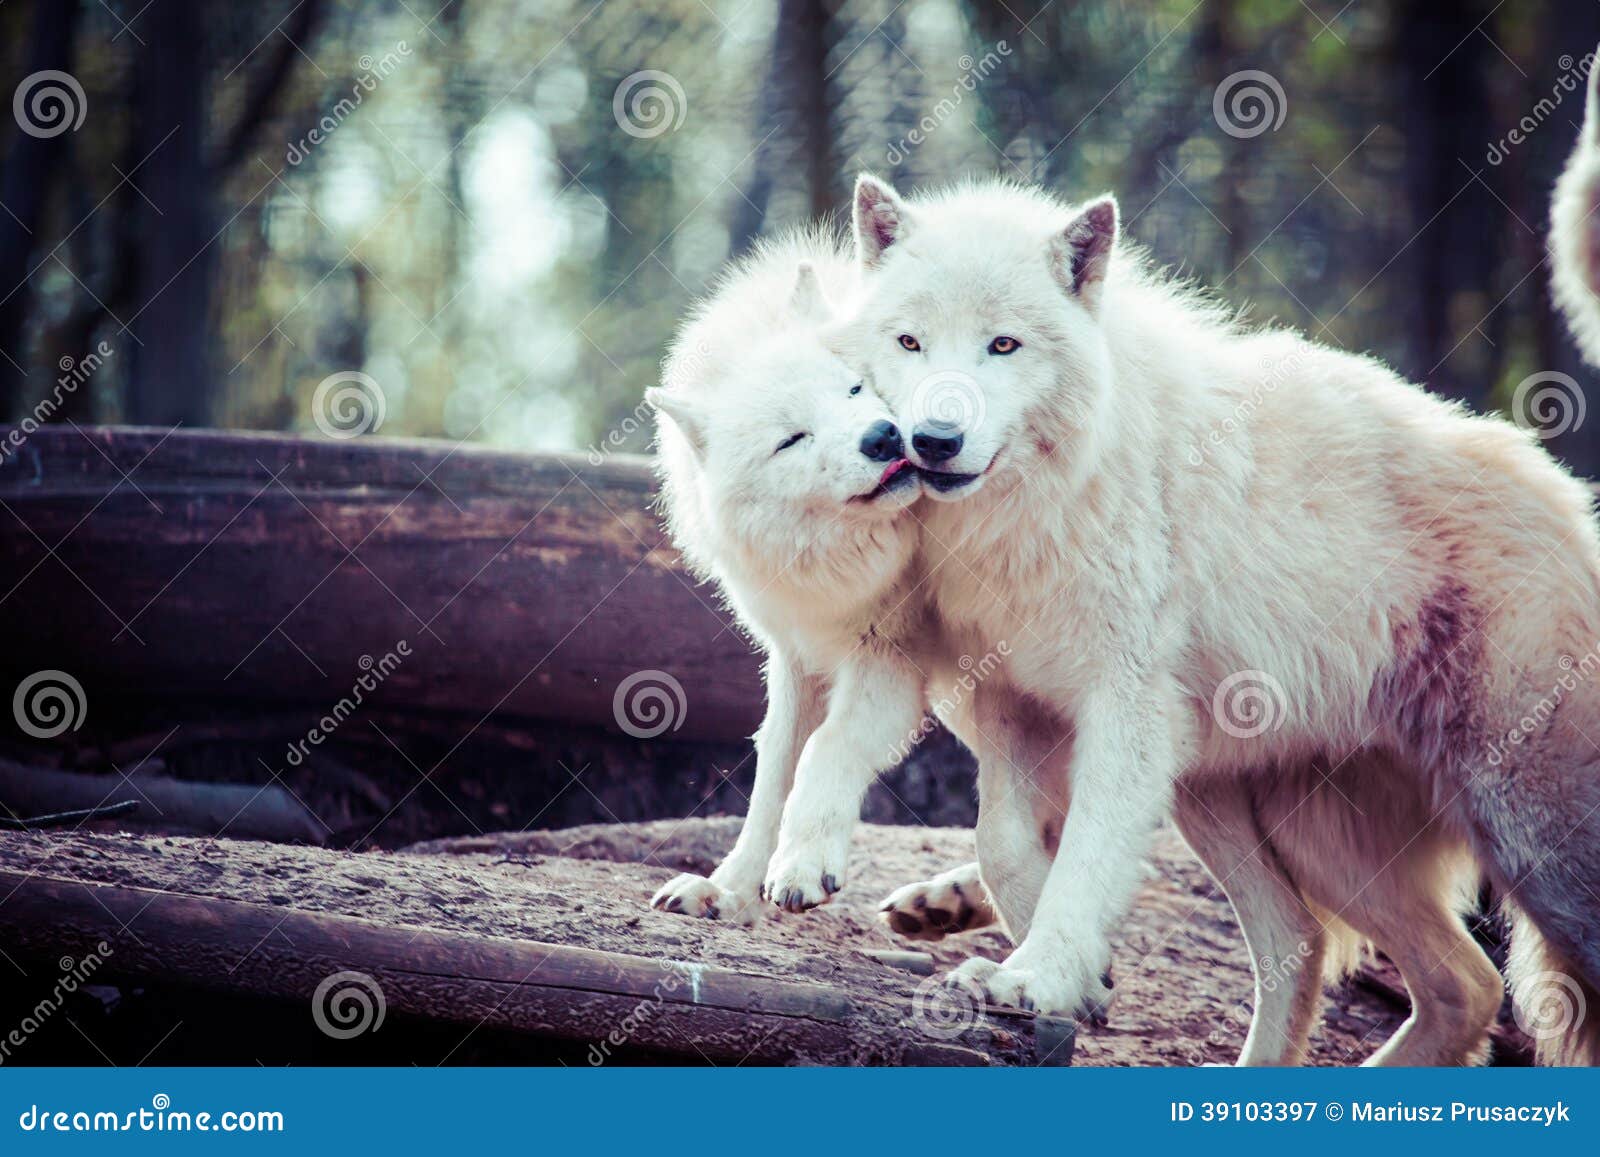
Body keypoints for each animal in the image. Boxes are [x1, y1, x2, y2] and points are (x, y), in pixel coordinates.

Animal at [645, 233, 933, 924]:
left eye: (854, 389)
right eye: (792, 440)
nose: (883, 437)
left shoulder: (890, 658)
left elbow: (825, 749)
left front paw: (802, 866)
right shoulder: (799, 659)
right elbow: (772, 775)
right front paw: (727, 889)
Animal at [821, 171, 1600, 1066]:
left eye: (1004, 346)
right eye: (910, 342)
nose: (934, 439)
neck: (1058, 493)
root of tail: (1572, 506)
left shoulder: (1122, 706)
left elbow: (1084, 854)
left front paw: (1039, 977)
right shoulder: (1014, 695)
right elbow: (1005, 842)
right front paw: (1078, 977)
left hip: (1532, 843)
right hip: (1270, 818)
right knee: (1401, 968)